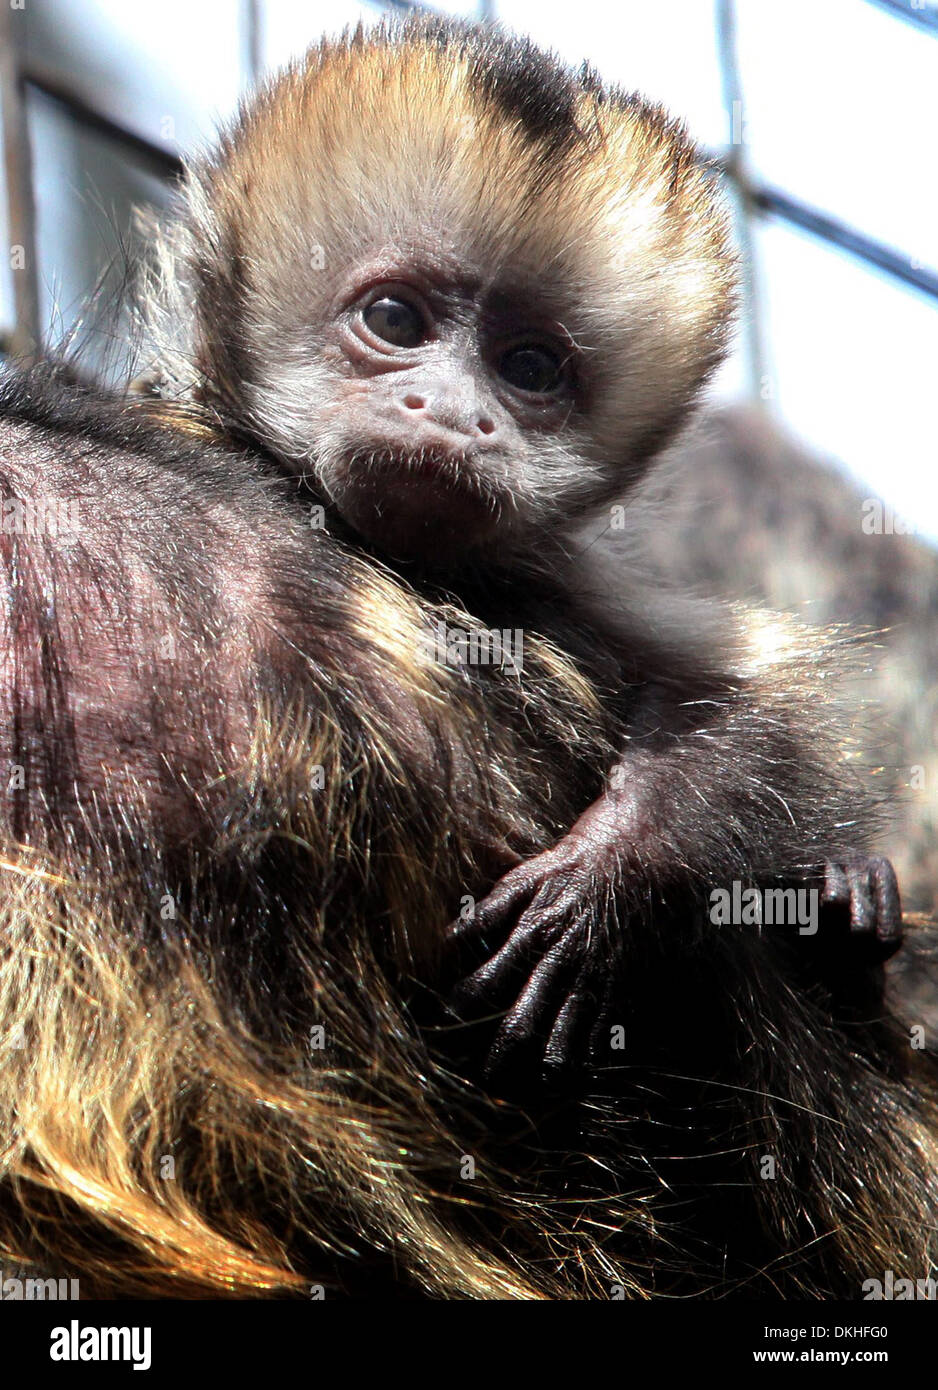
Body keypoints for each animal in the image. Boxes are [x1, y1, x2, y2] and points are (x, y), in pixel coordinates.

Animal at [139, 14, 904, 1083]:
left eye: (531, 368)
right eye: (394, 319)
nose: (460, 414)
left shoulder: (549, 567)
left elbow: (747, 694)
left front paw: (608, 877)